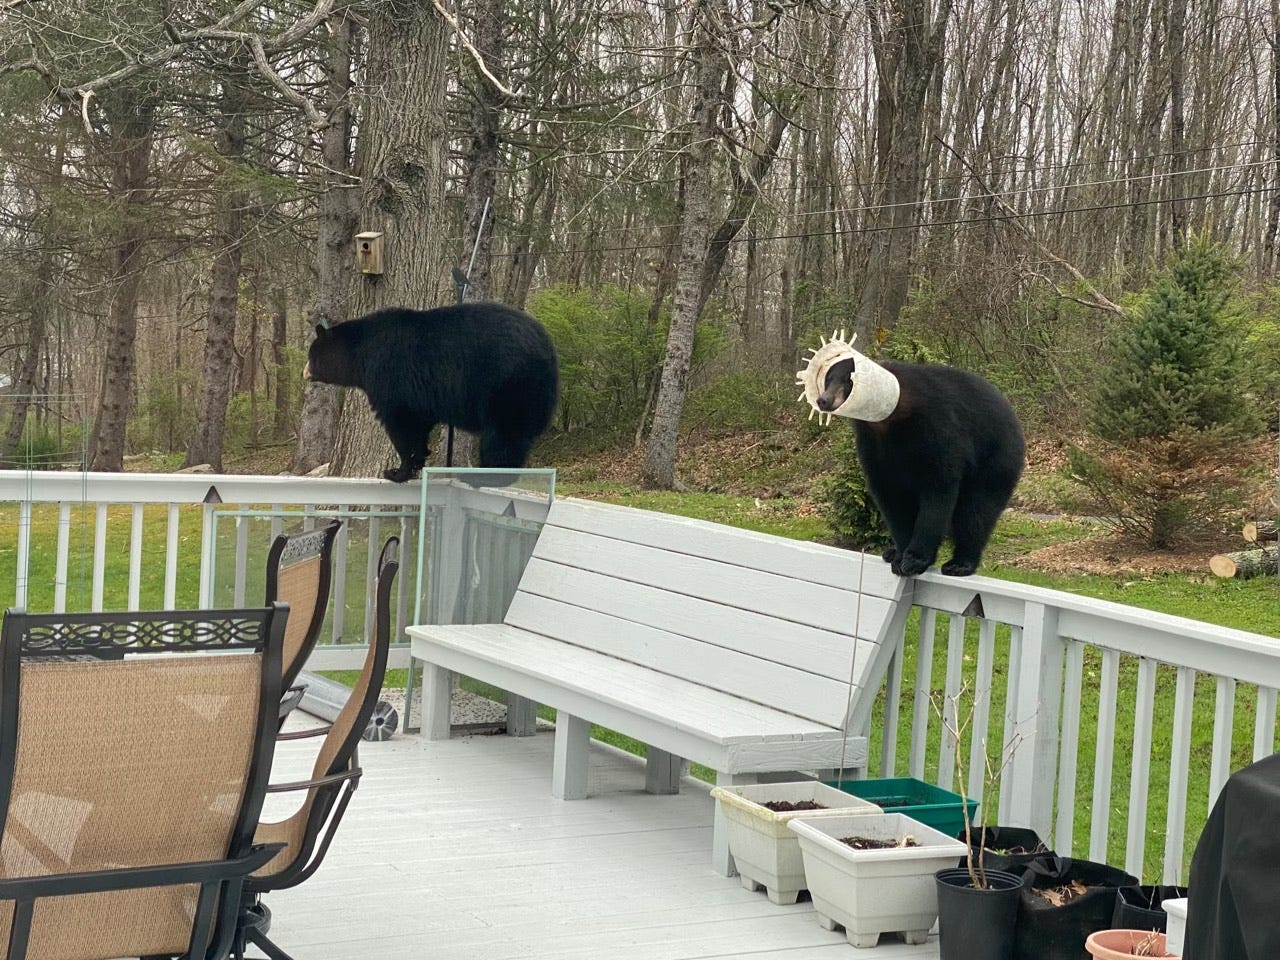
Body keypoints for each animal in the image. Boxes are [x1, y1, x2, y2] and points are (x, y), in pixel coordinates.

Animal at [304, 303, 559, 483]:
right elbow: (421, 424)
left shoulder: (389, 376)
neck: (360, 352)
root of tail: (547, 348)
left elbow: (400, 425)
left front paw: (397, 471)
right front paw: (420, 458)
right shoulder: (420, 396)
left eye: (311, 355)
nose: (303, 372)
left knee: (503, 437)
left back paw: (485, 476)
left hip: (507, 386)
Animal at [817, 356, 1024, 577]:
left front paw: (914, 559)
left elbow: (938, 489)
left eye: (849, 380)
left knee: (976, 512)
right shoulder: (873, 444)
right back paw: (891, 552)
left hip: (994, 461)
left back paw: (961, 563)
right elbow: (890, 497)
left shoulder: (934, 426)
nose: (823, 400)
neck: (890, 420)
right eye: (828, 379)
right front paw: (900, 555)